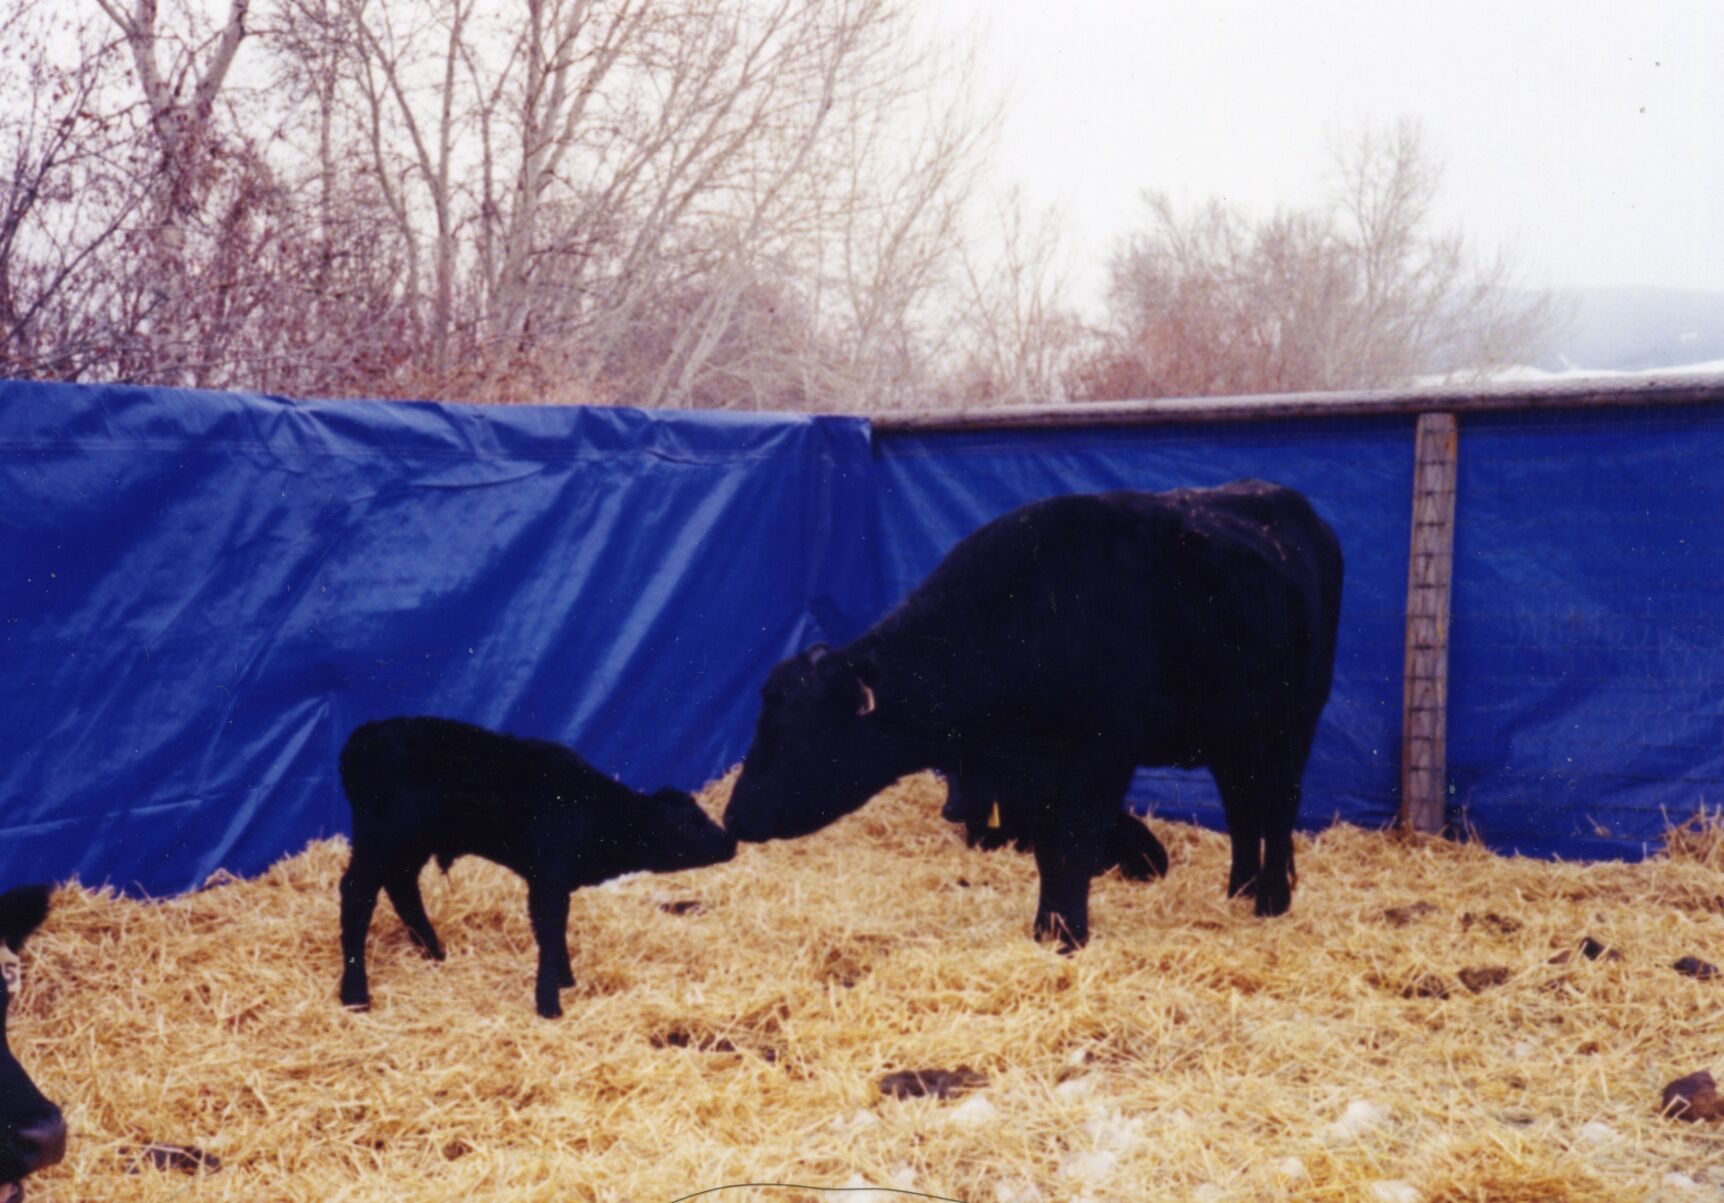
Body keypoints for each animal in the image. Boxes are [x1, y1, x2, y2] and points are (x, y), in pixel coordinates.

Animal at [337, 717, 737, 1018]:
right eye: (688, 824)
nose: (729, 841)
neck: (592, 810)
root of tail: (367, 732)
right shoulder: (548, 879)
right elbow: (550, 930)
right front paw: (550, 1003)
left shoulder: (549, 881)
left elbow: (554, 934)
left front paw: (566, 981)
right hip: (382, 836)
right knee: (357, 893)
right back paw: (355, 993)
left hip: (410, 844)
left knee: (401, 885)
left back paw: (432, 952)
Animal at [724, 480, 1343, 949]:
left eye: (794, 733)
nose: (733, 814)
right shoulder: (1030, 775)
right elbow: (1049, 846)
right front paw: (1050, 927)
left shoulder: (1102, 754)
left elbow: (1073, 839)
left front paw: (1067, 935)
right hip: (1232, 734)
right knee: (1241, 809)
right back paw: (1238, 890)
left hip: (1295, 718)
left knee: (1279, 806)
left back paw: (1271, 898)